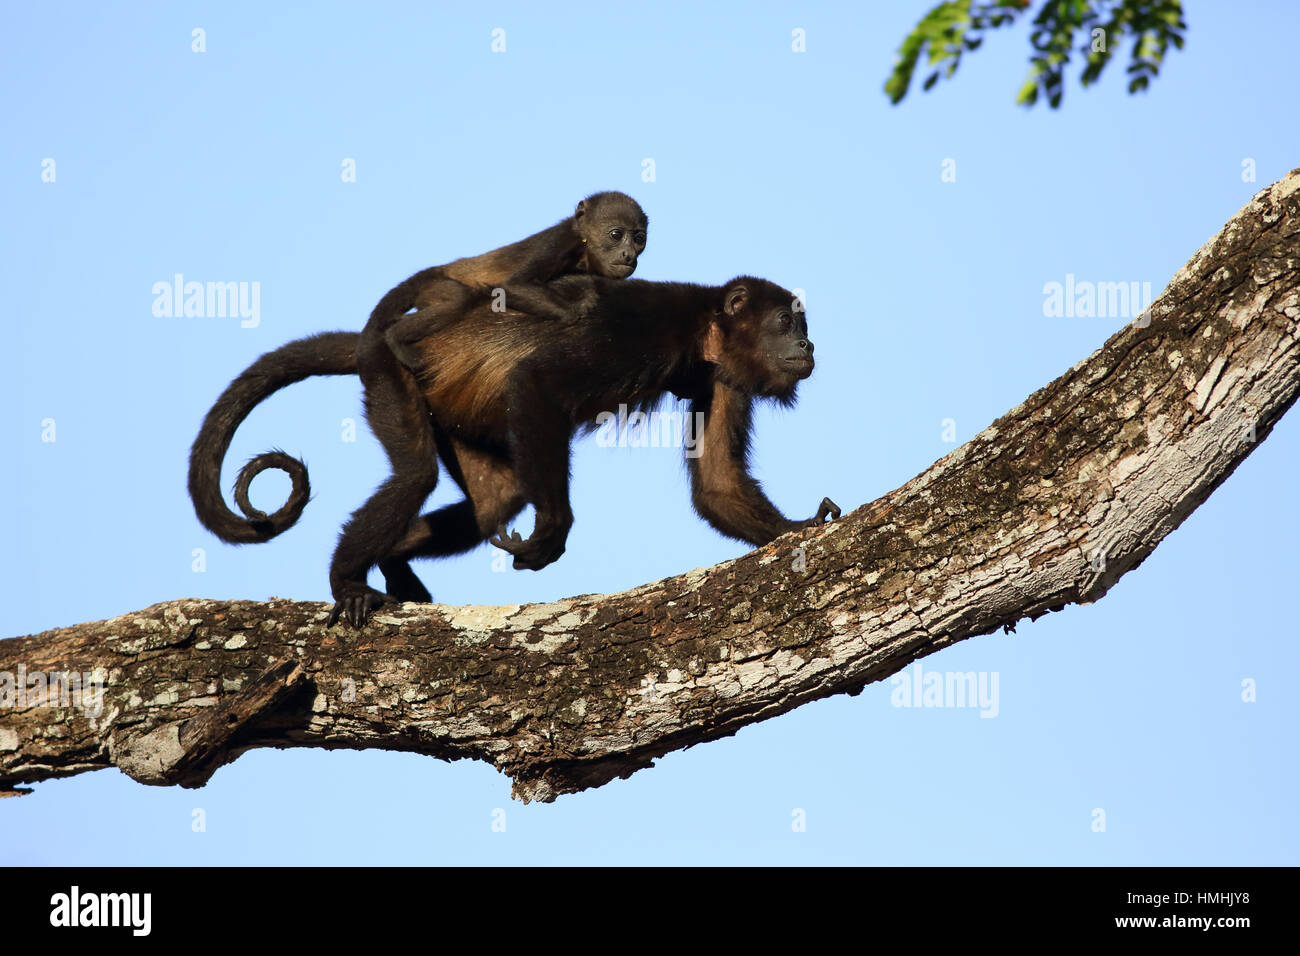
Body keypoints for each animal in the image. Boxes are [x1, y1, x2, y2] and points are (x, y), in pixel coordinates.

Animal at [188, 274, 840, 627]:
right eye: (786, 321)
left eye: (803, 326)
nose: (809, 346)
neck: (703, 328)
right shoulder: (638, 328)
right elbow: (537, 381)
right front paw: (554, 527)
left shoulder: (722, 376)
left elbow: (718, 484)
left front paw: (801, 527)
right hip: (388, 375)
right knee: (416, 475)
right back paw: (346, 578)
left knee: (494, 502)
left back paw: (394, 559)